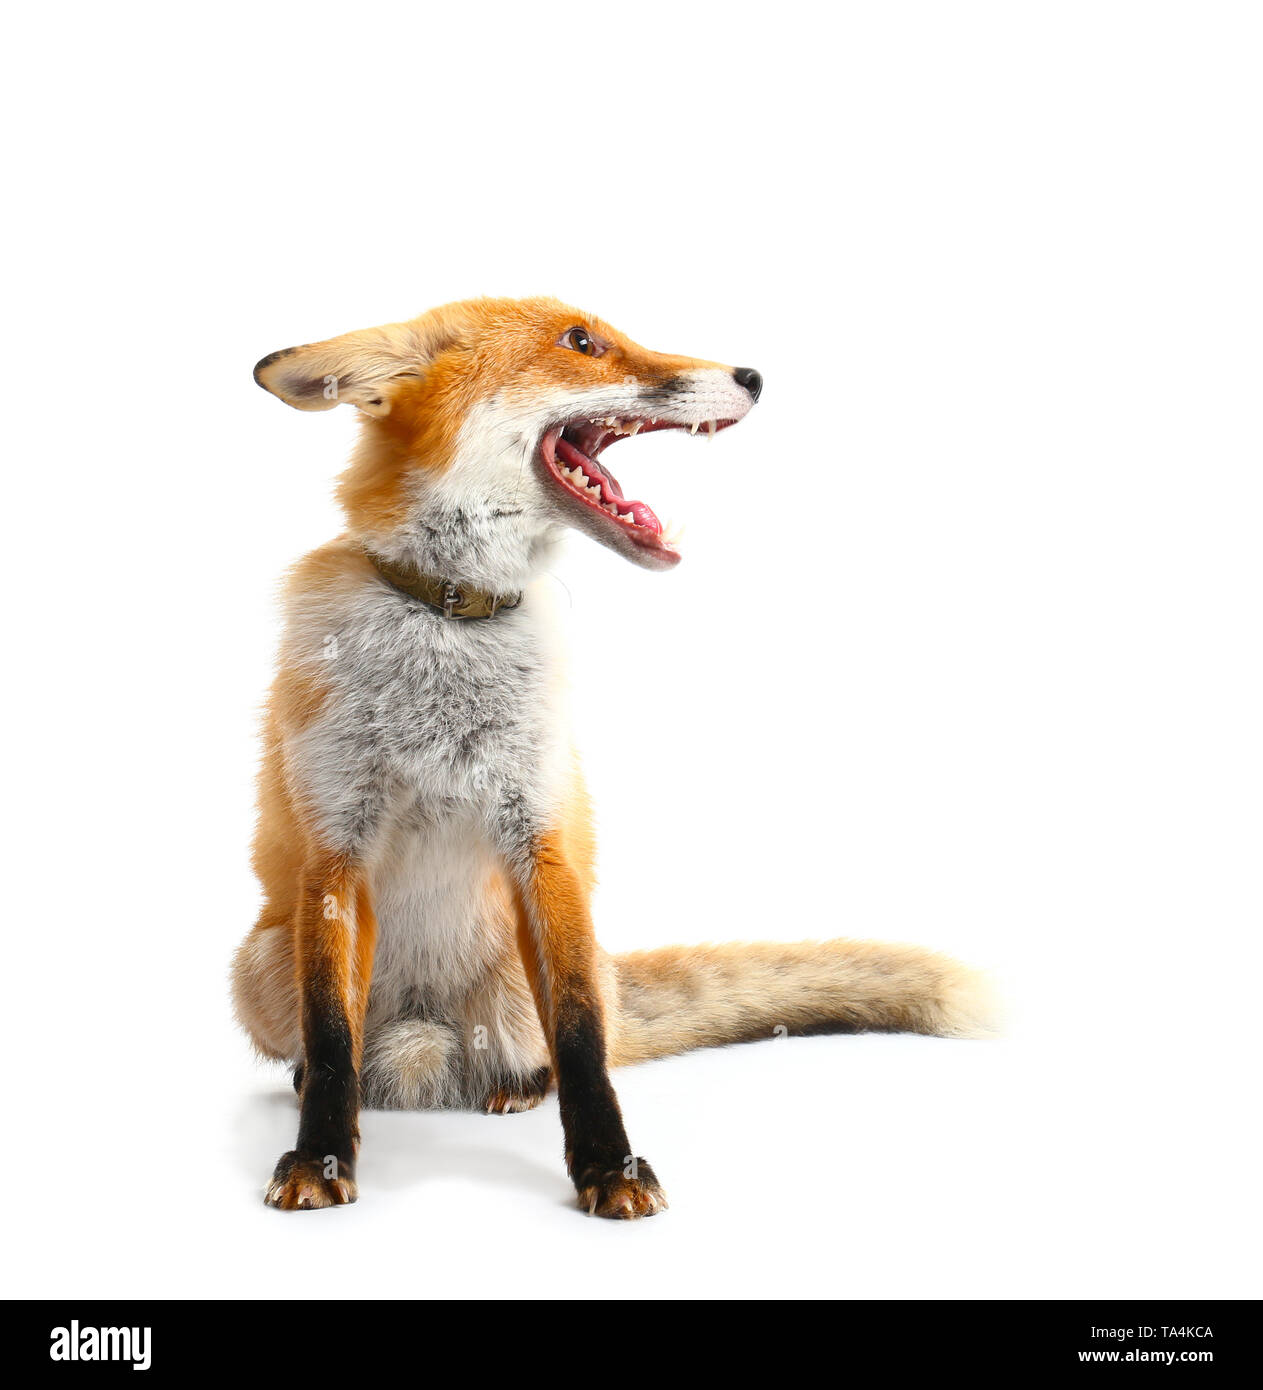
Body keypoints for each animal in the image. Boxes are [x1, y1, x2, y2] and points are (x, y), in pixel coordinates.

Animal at [232, 296, 996, 1218]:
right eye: (581, 343)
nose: (752, 375)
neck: (451, 614)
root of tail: (428, 1041)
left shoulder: (542, 839)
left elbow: (581, 1034)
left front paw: (607, 1164)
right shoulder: (333, 854)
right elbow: (332, 1040)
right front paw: (319, 1156)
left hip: (529, 976)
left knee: (561, 1036)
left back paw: (520, 1085)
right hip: (258, 959)